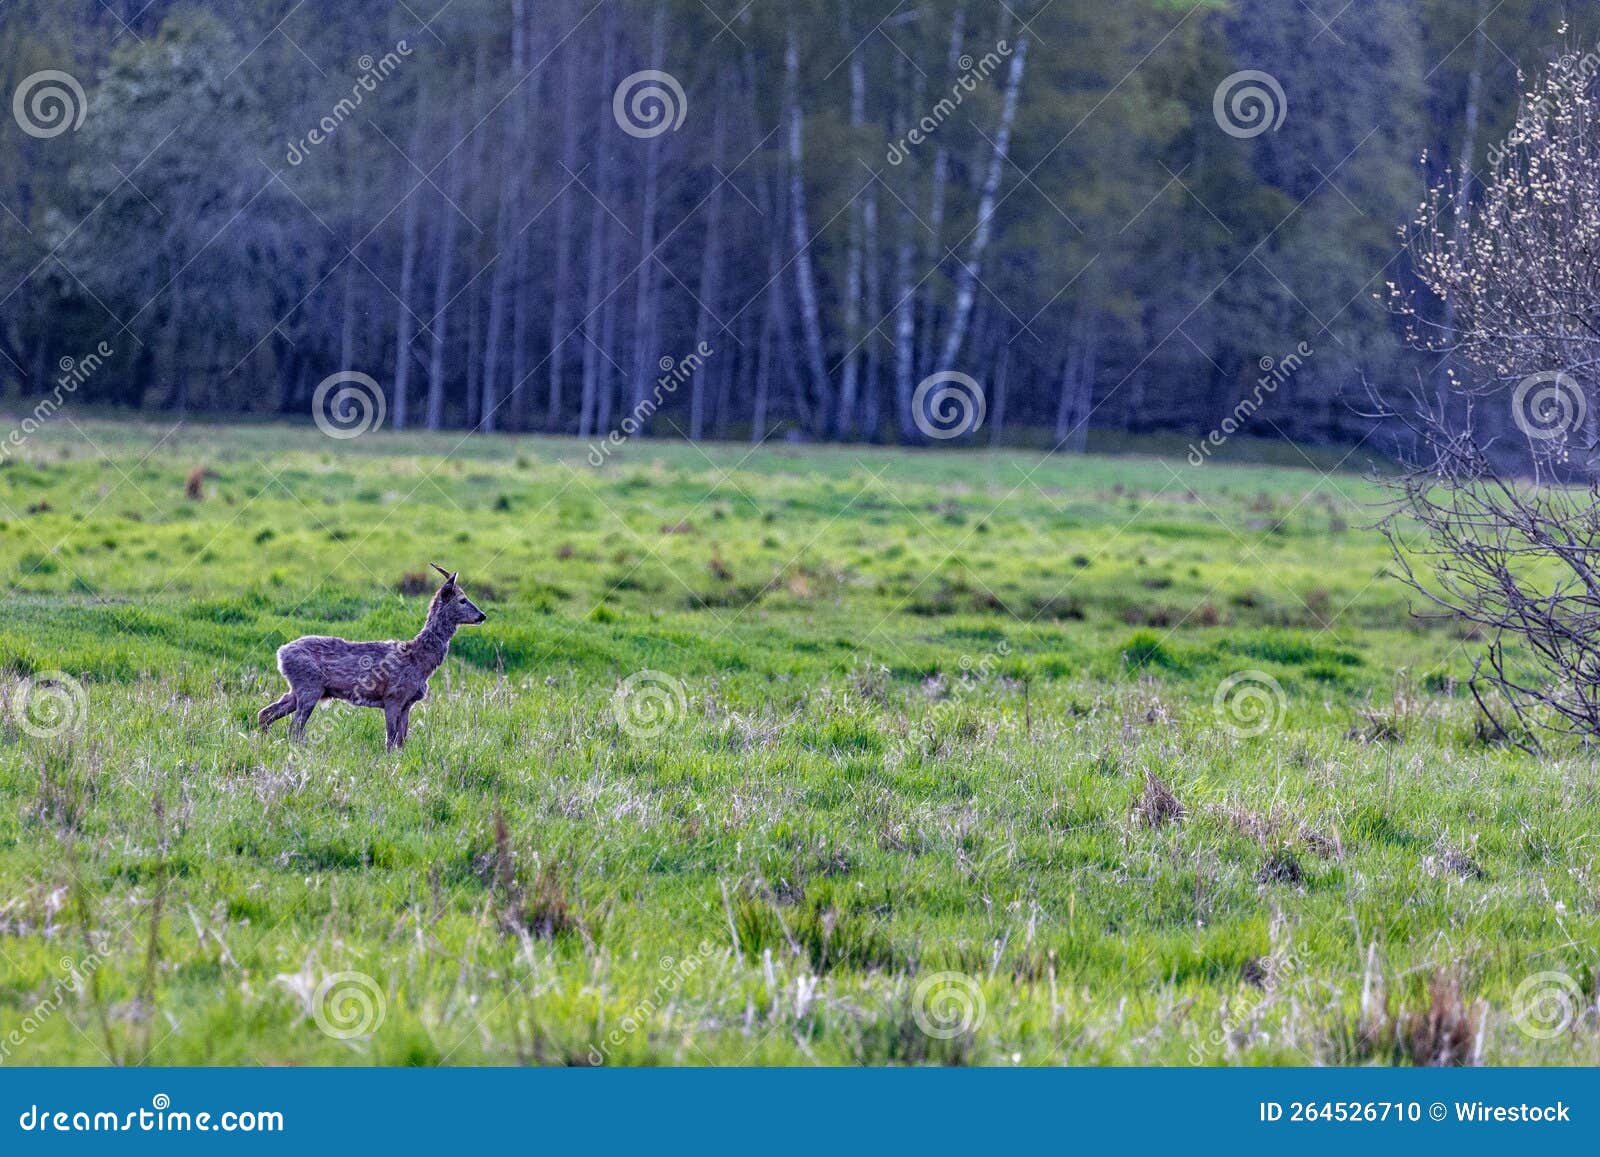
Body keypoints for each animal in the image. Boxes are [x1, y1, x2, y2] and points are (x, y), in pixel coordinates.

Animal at [258, 564, 487, 750]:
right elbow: (390, 740)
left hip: (298, 689)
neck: (419, 661)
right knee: (294, 727)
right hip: (309, 686)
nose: (482, 616)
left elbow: (402, 741)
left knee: (266, 713)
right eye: (463, 600)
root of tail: (281, 653)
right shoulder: (393, 696)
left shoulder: (408, 703)